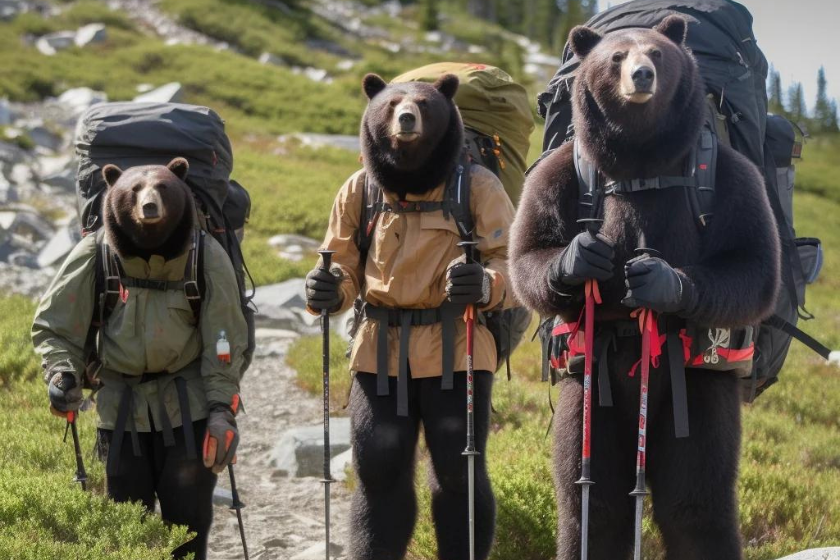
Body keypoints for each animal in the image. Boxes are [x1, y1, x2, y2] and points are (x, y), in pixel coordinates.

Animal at [304, 73, 517, 560]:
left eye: (422, 102)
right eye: (391, 102)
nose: (405, 119)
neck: (413, 185)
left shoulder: (484, 191)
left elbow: (505, 256)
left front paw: (475, 280)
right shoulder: (351, 192)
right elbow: (344, 253)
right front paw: (323, 285)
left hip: (455, 370)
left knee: (458, 466)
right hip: (381, 367)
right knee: (381, 464)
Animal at [510, 15, 780, 560]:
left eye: (656, 52)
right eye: (616, 56)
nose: (641, 76)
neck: (639, 164)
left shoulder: (736, 176)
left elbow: (754, 264)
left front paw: (659, 279)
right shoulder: (555, 174)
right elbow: (529, 250)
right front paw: (578, 257)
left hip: (695, 395)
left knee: (697, 499)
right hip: (589, 395)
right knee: (591, 501)